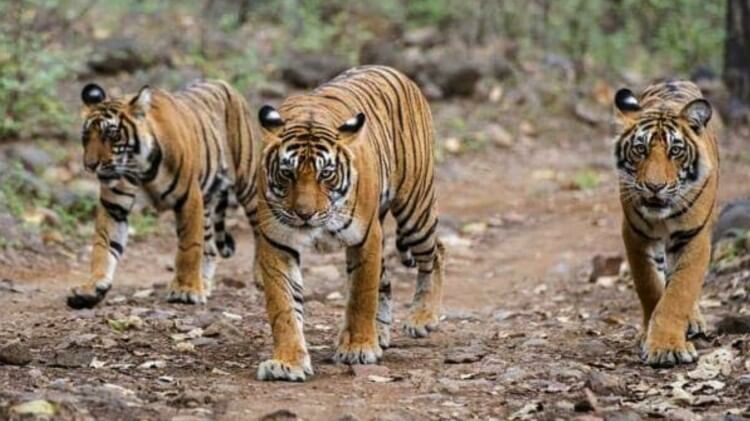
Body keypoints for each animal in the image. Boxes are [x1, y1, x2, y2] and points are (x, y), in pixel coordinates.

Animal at [67, 80, 259, 309]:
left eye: (111, 135)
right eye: (86, 136)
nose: (90, 165)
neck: (140, 169)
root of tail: (222, 83)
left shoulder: (189, 198)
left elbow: (189, 247)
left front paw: (185, 290)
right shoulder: (113, 207)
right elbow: (103, 245)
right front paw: (91, 287)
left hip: (248, 183)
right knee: (210, 247)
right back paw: (203, 284)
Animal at [254, 65, 445, 381]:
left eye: (326, 174)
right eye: (287, 173)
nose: (304, 214)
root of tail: (393, 70)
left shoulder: (365, 236)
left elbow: (360, 296)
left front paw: (358, 348)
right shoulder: (277, 241)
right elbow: (283, 306)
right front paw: (287, 362)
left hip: (415, 209)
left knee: (436, 252)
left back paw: (422, 317)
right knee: (387, 279)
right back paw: (381, 333)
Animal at [613, 80, 719, 367]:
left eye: (676, 151)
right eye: (641, 149)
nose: (654, 186)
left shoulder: (694, 238)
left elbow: (679, 292)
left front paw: (667, 347)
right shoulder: (635, 235)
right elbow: (650, 286)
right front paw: (650, 336)